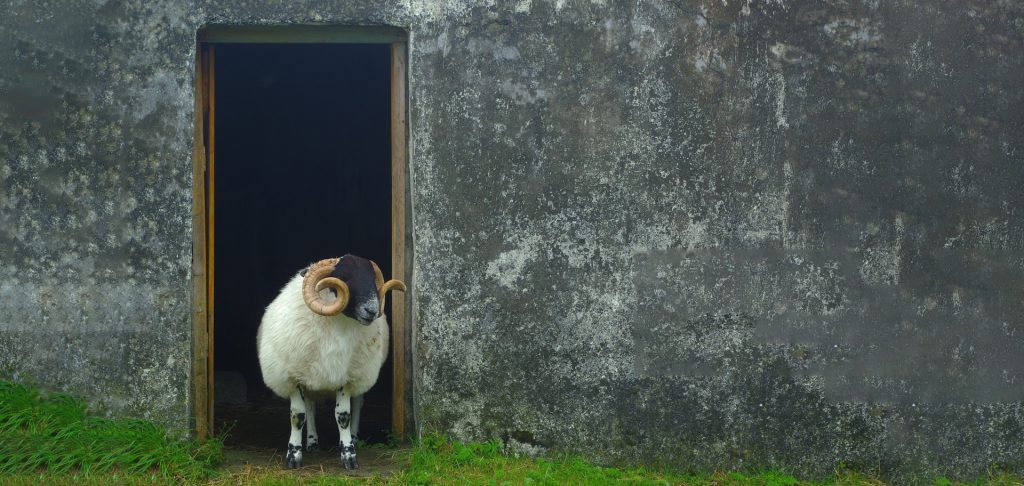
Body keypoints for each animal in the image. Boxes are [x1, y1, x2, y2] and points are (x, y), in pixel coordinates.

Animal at [256, 255, 406, 470]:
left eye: (372, 279)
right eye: (343, 278)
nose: (372, 310)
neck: (337, 325)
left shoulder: (347, 378)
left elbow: (343, 415)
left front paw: (349, 455)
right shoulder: (293, 378)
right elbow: (298, 416)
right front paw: (293, 455)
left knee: (357, 404)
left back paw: (353, 437)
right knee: (310, 408)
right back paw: (312, 442)